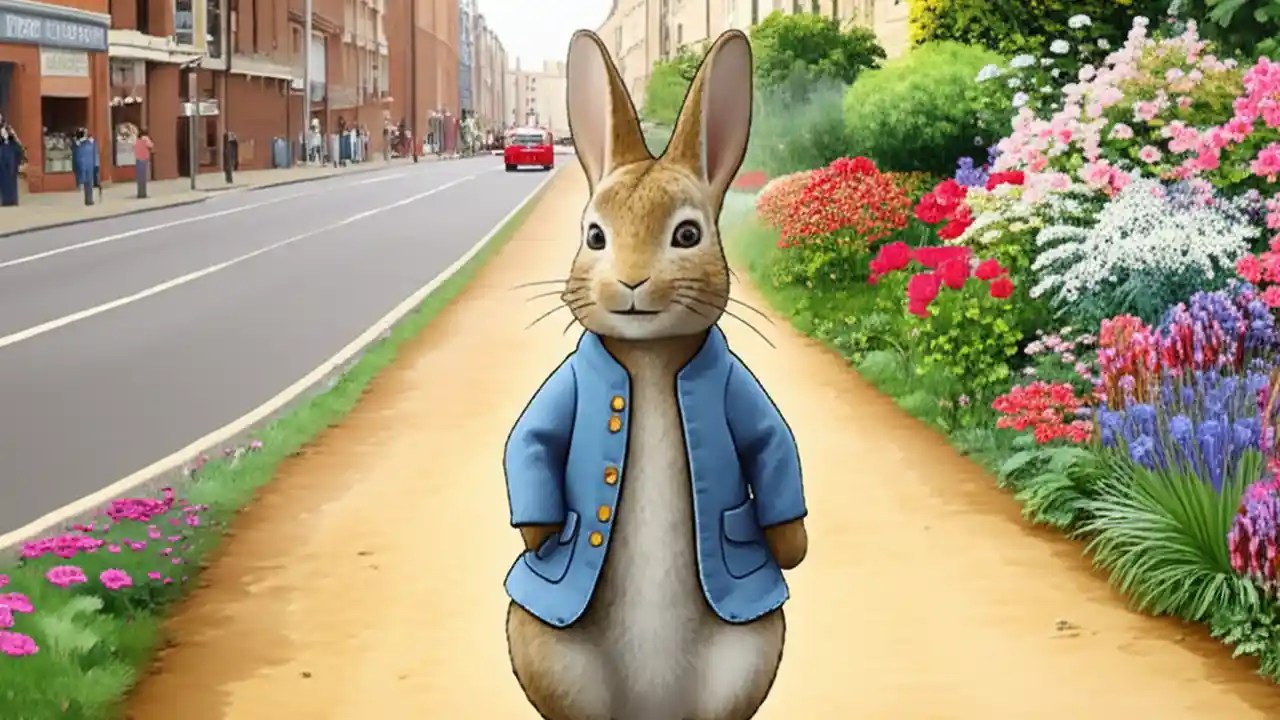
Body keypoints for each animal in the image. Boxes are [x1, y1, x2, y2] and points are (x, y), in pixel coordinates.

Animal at [502, 28, 808, 720]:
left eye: (688, 234)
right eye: (593, 237)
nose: (632, 282)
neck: (647, 360)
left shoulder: (737, 390)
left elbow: (772, 443)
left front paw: (792, 547)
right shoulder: (569, 387)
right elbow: (530, 440)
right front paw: (538, 535)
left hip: (747, 651)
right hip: (550, 651)